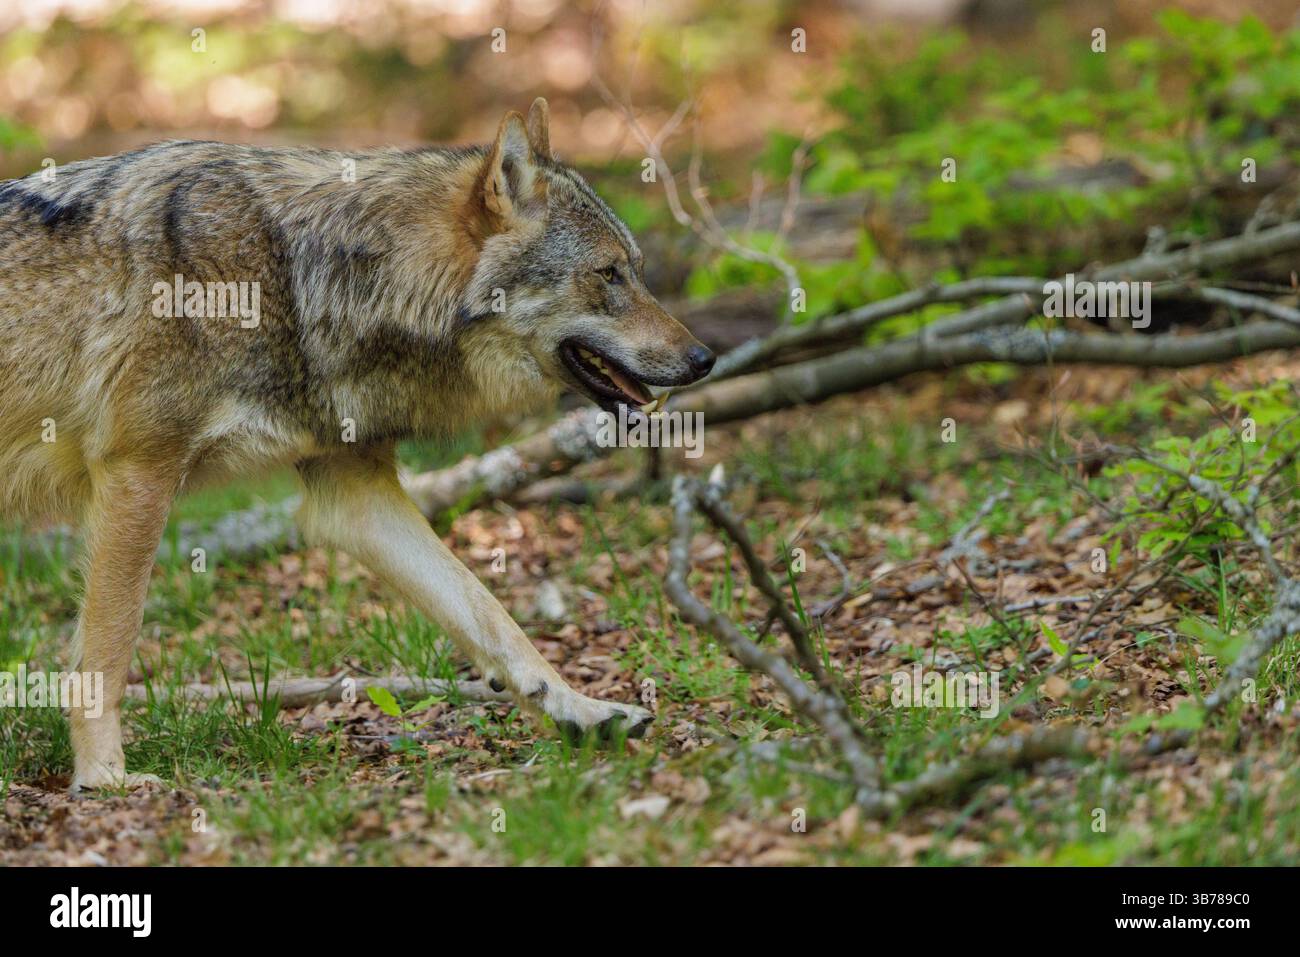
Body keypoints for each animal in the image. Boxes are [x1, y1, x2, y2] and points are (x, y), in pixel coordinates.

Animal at [0, 98, 715, 791]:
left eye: (637, 271)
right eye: (609, 274)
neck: (298, 281)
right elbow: (109, 648)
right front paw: (104, 777)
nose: (705, 359)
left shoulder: (354, 491)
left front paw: (580, 710)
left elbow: (489, 612)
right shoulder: (137, 472)